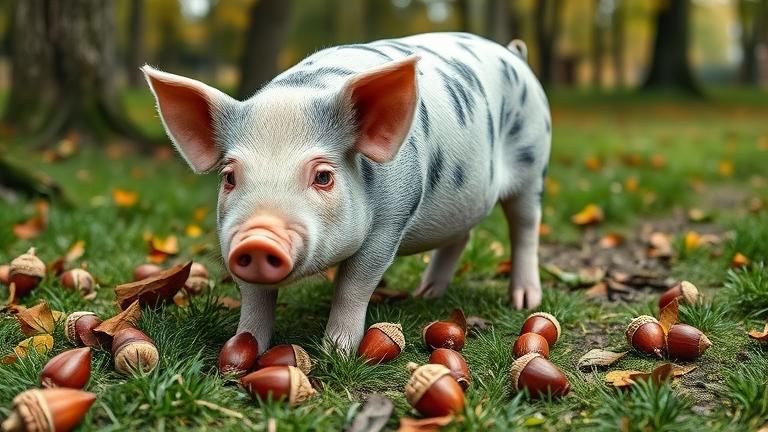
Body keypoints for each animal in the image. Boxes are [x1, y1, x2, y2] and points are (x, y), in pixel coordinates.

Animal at [142, 32, 551, 354]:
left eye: (323, 176)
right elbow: (255, 298)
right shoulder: (231, 240)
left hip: (533, 164)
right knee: (460, 236)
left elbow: (354, 284)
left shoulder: (390, 224)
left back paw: (523, 300)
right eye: (229, 177)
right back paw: (427, 294)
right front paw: (243, 346)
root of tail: (515, 54)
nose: (258, 237)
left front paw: (336, 350)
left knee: (525, 226)